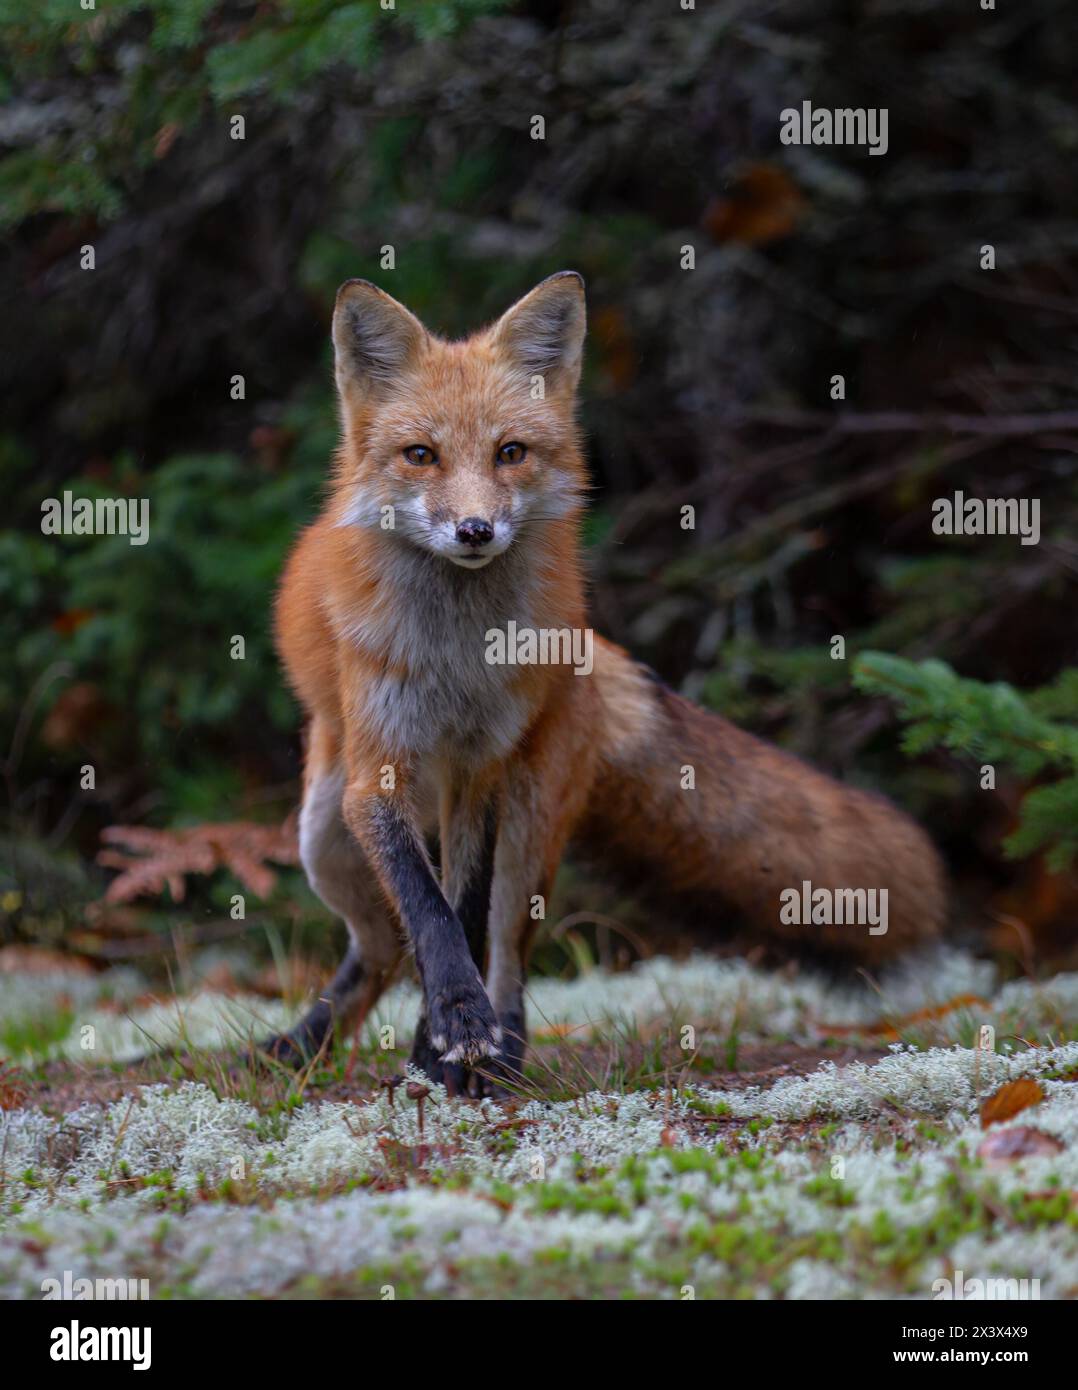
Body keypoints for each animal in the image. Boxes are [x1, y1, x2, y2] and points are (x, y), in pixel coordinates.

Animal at [268, 271, 948, 1094]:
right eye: (420, 454)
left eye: (511, 452)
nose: (474, 531)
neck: (457, 656)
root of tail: (588, 653)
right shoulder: (382, 775)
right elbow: (429, 914)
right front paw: (452, 1023)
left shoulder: (482, 769)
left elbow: (464, 915)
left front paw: (450, 1042)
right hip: (325, 835)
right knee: (386, 946)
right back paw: (307, 1044)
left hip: (529, 823)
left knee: (500, 946)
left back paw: (496, 1057)